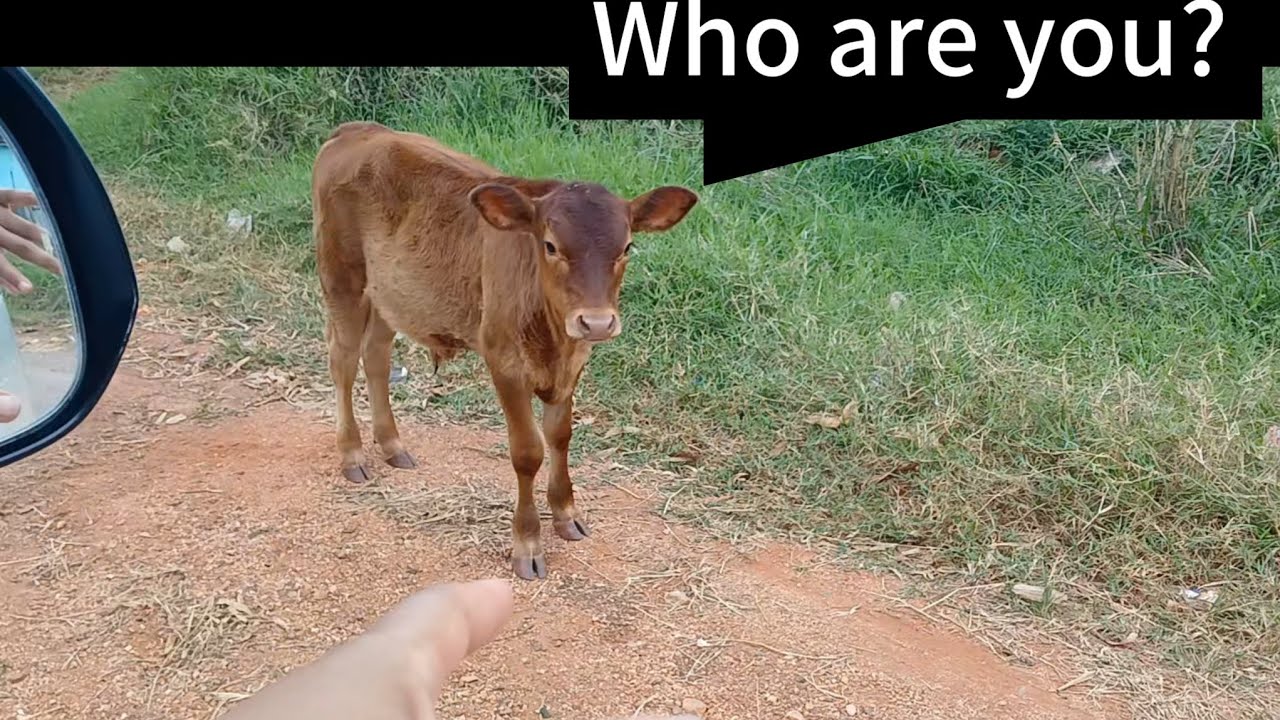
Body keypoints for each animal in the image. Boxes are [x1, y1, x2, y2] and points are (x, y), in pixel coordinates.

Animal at [310, 121, 698, 580]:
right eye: (550, 245)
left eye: (626, 248)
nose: (597, 322)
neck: (555, 339)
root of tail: (359, 130)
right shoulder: (504, 362)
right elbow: (528, 451)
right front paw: (527, 542)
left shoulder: (573, 364)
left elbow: (561, 436)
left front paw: (566, 513)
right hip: (341, 277)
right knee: (342, 361)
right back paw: (352, 453)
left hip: (392, 294)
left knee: (376, 357)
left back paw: (392, 445)